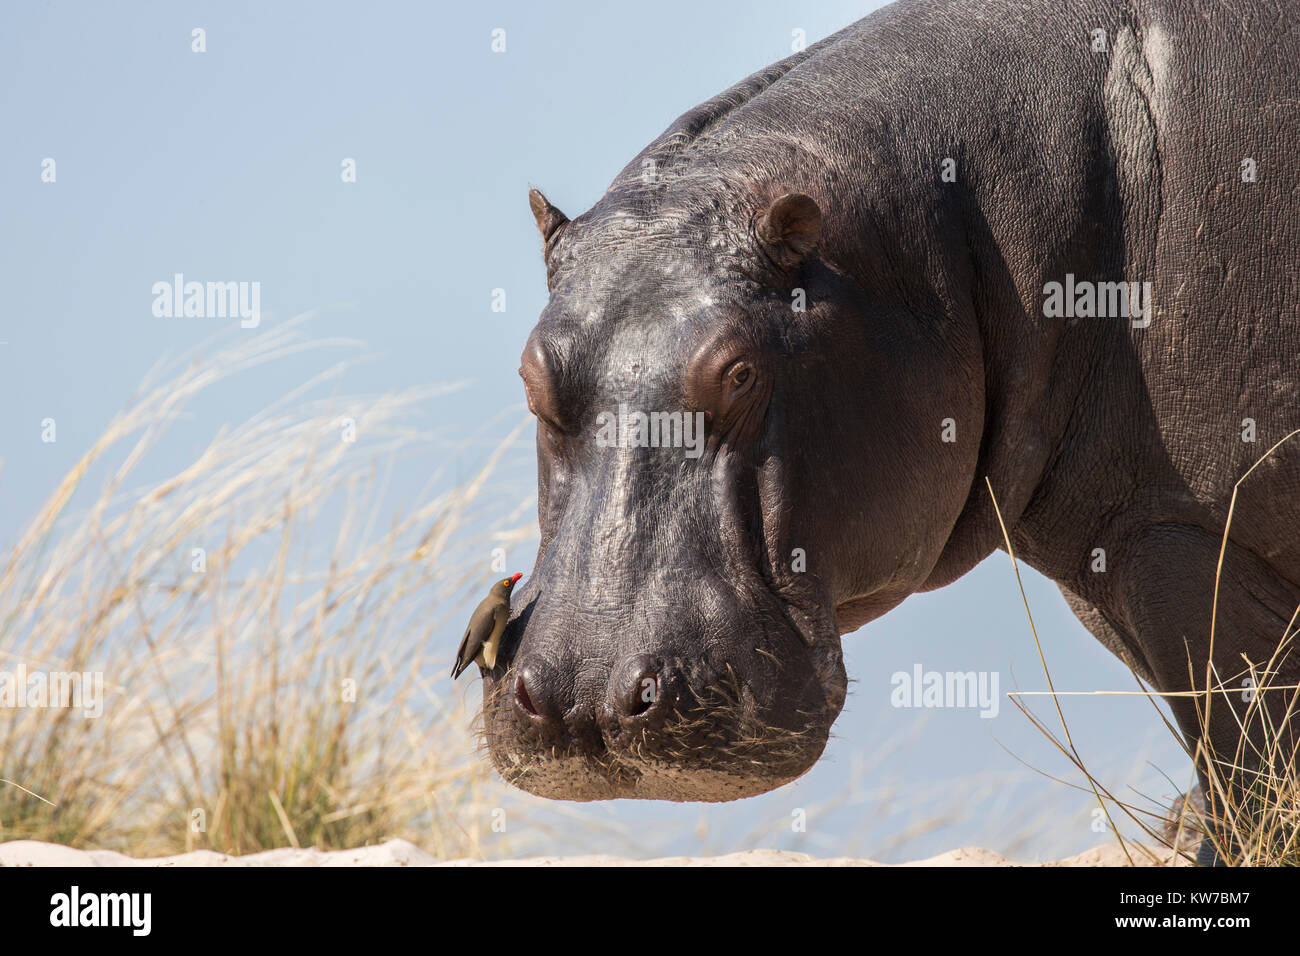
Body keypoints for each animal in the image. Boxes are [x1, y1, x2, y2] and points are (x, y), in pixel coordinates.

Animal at [483, 0, 1300, 842]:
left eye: (741, 373)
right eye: (531, 375)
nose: (583, 697)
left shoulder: (1183, 533)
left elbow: (1248, 764)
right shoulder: (1114, 547)